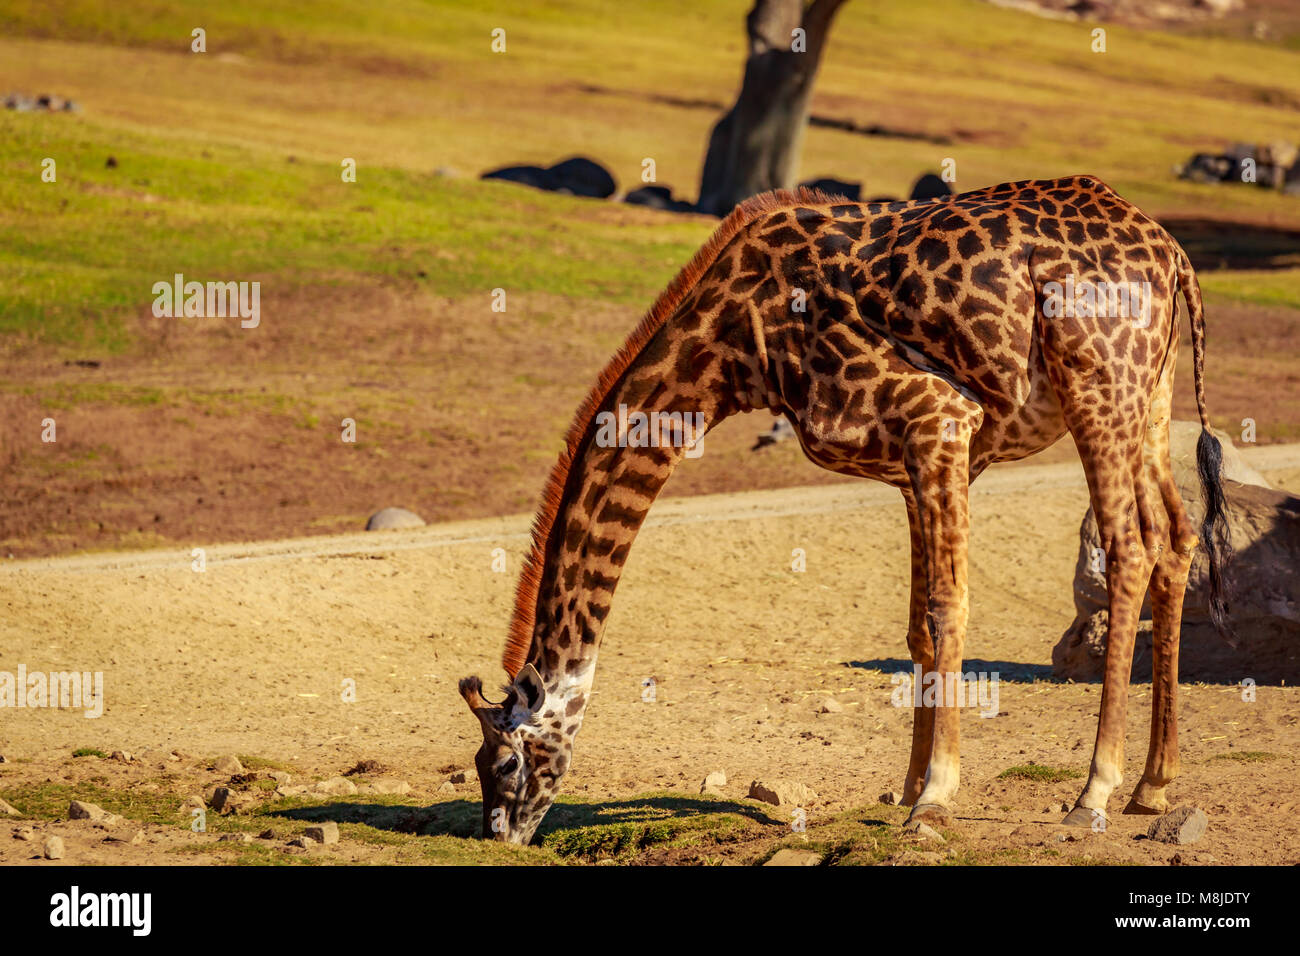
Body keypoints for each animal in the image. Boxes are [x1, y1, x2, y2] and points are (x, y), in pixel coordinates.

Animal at [459, 175, 1232, 844]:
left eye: (503, 762)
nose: (504, 837)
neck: (740, 347)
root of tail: (1175, 257)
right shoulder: (913, 464)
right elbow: (919, 627)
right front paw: (907, 788)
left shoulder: (939, 419)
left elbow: (948, 607)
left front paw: (935, 800)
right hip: (1150, 394)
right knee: (1174, 535)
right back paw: (1154, 784)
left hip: (1098, 385)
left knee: (1128, 547)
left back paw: (1094, 791)